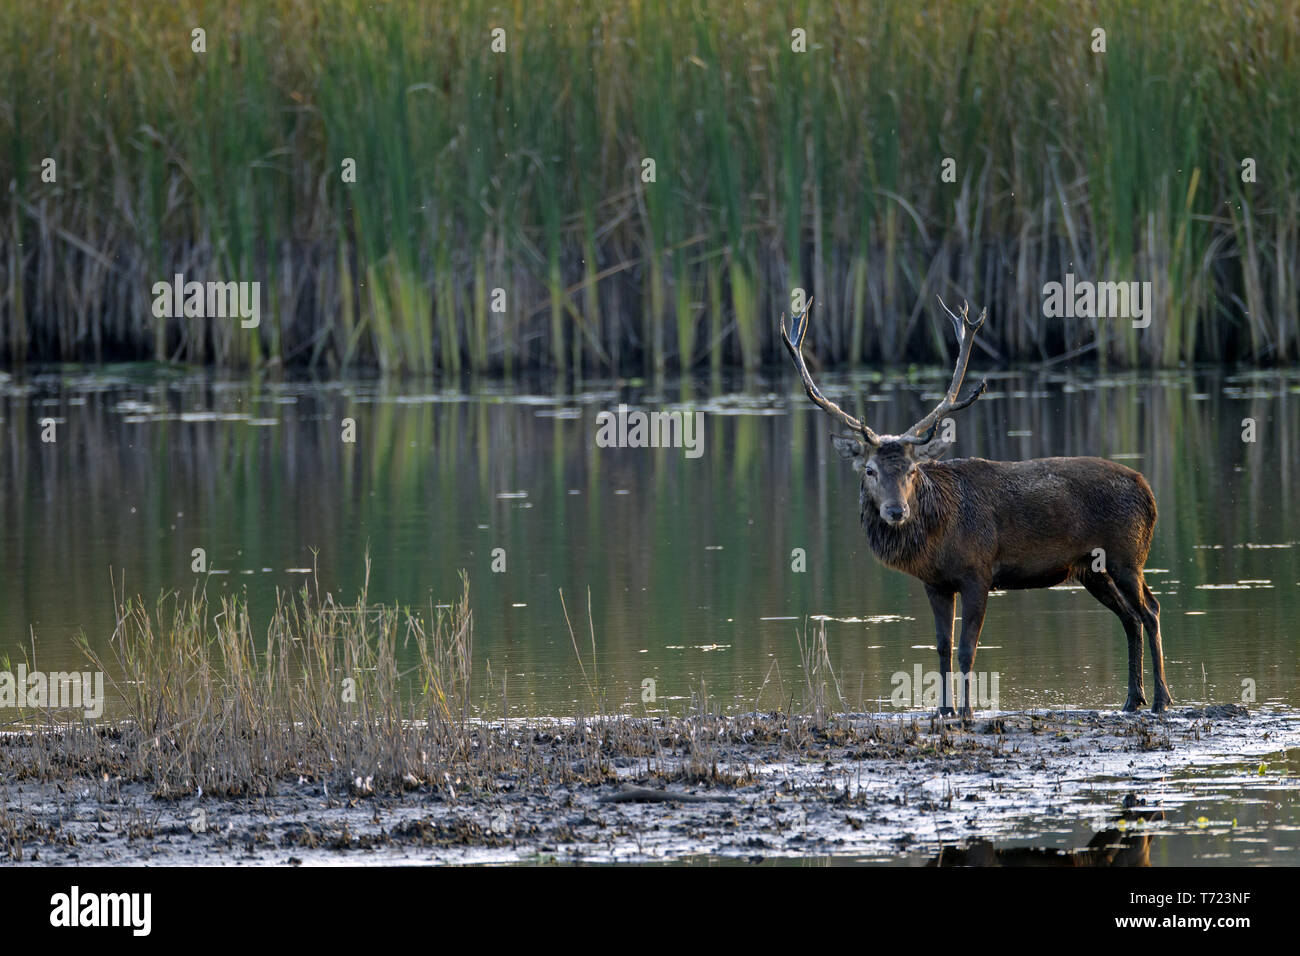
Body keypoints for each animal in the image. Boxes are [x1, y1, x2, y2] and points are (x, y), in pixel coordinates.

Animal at [781, 297, 1172, 719]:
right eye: (870, 470)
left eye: (912, 470)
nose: (896, 511)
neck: (938, 533)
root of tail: (1148, 491)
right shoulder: (935, 582)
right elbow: (942, 646)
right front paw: (943, 710)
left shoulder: (978, 571)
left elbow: (967, 648)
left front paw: (967, 712)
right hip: (1092, 569)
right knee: (1130, 618)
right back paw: (1132, 699)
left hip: (1126, 555)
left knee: (1150, 610)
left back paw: (1161, 699)